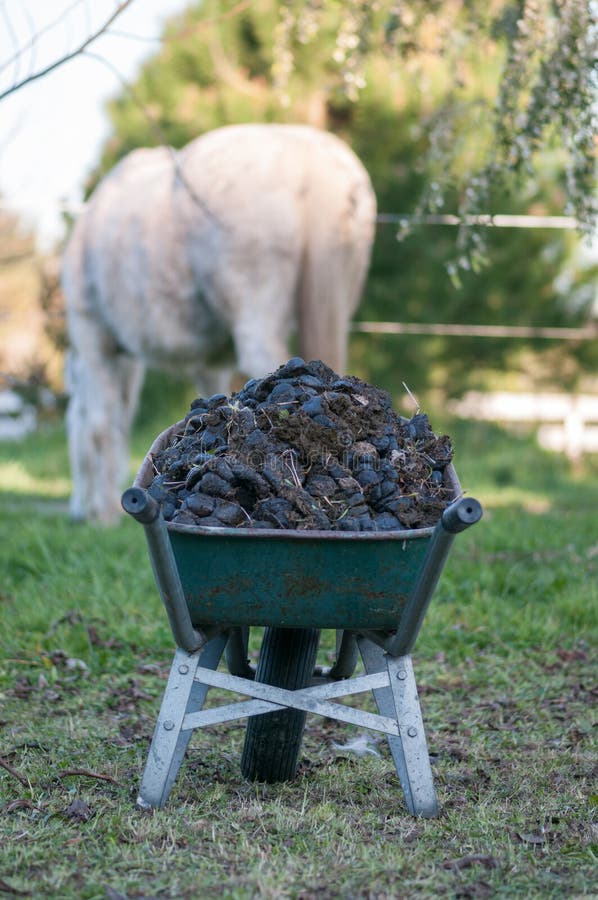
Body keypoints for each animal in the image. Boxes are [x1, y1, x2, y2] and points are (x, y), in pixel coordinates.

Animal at [61, 123, 377, 523]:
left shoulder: (93, 337)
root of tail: (309, 161)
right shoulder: (202, 362)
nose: (76, 514)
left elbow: (99, 427)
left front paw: (102, 515)